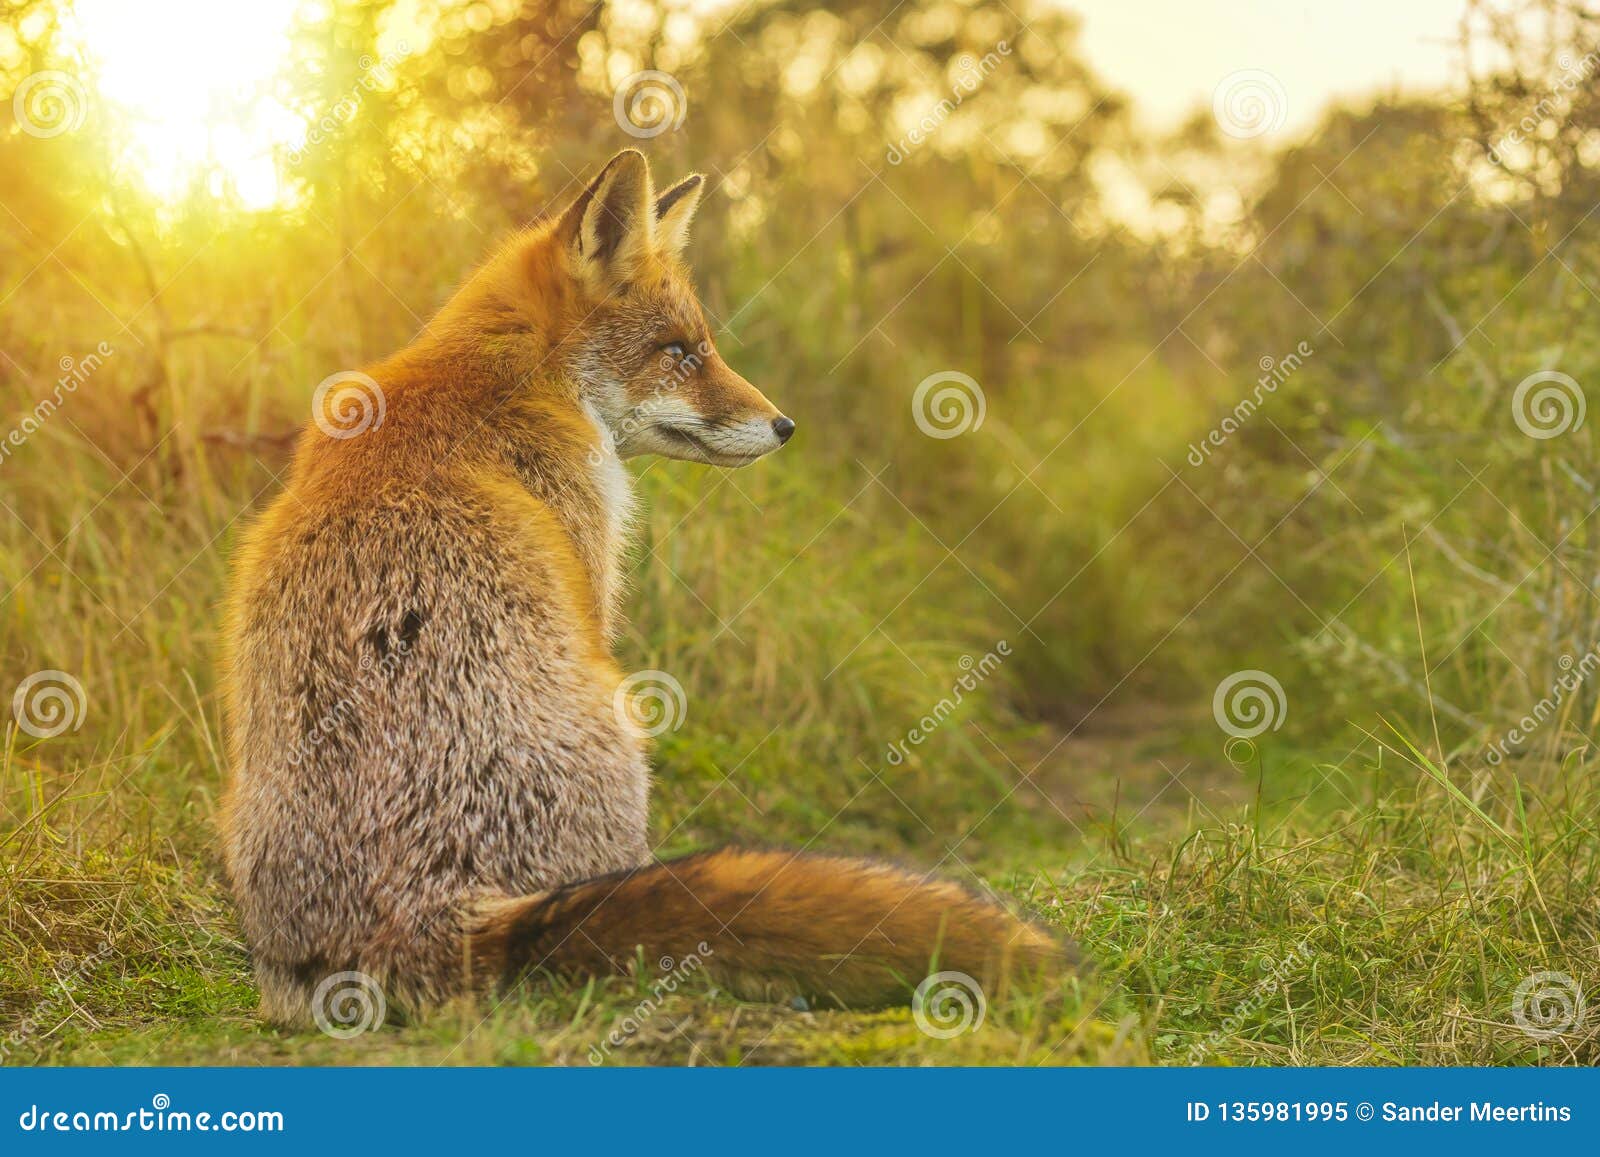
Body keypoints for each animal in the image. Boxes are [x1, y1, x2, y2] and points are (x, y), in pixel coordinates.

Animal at [219, 148, 1069, 1027]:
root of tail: (426, 916)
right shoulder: (587, 568)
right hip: (619, 721)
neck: (509, 382)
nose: (785, 425)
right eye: (681, 351)